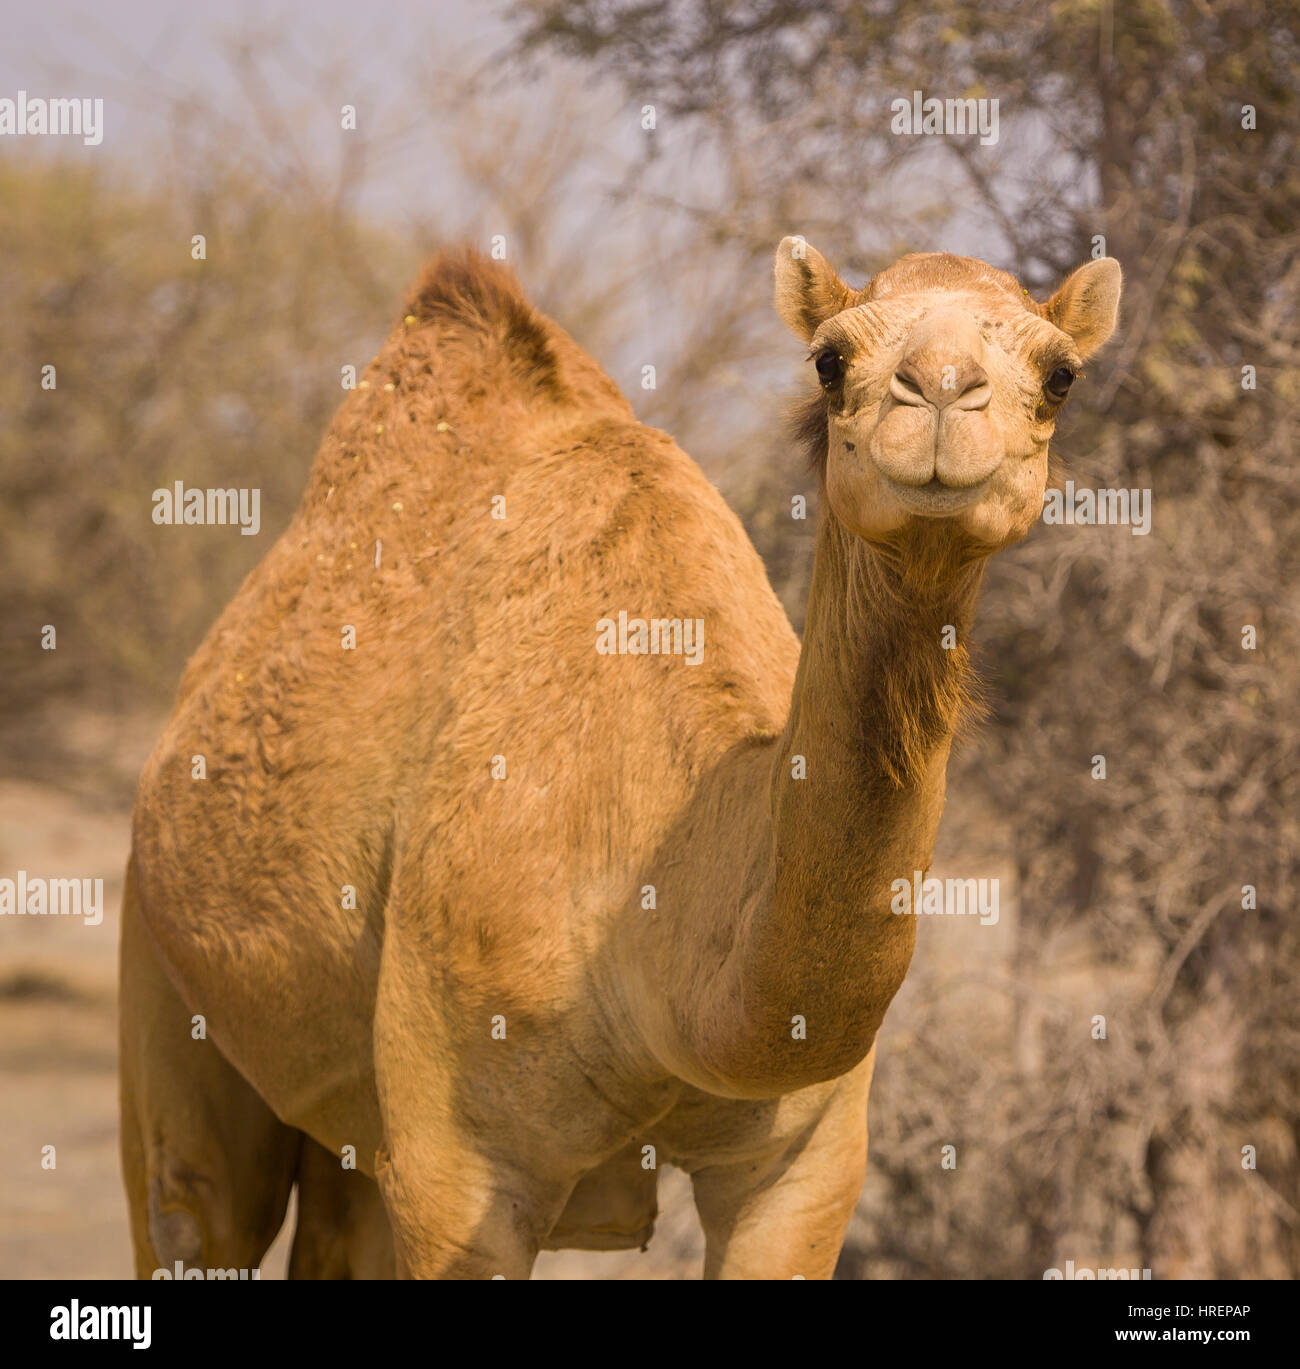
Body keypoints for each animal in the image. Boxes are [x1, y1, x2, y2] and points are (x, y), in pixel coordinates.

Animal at [120, 239, 1120, 1279]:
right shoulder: (457, 1173)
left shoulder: (805, 1167)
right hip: (156, 958)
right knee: (195, 1201)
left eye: (1061, 374)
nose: (942, 391)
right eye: (830, 360)